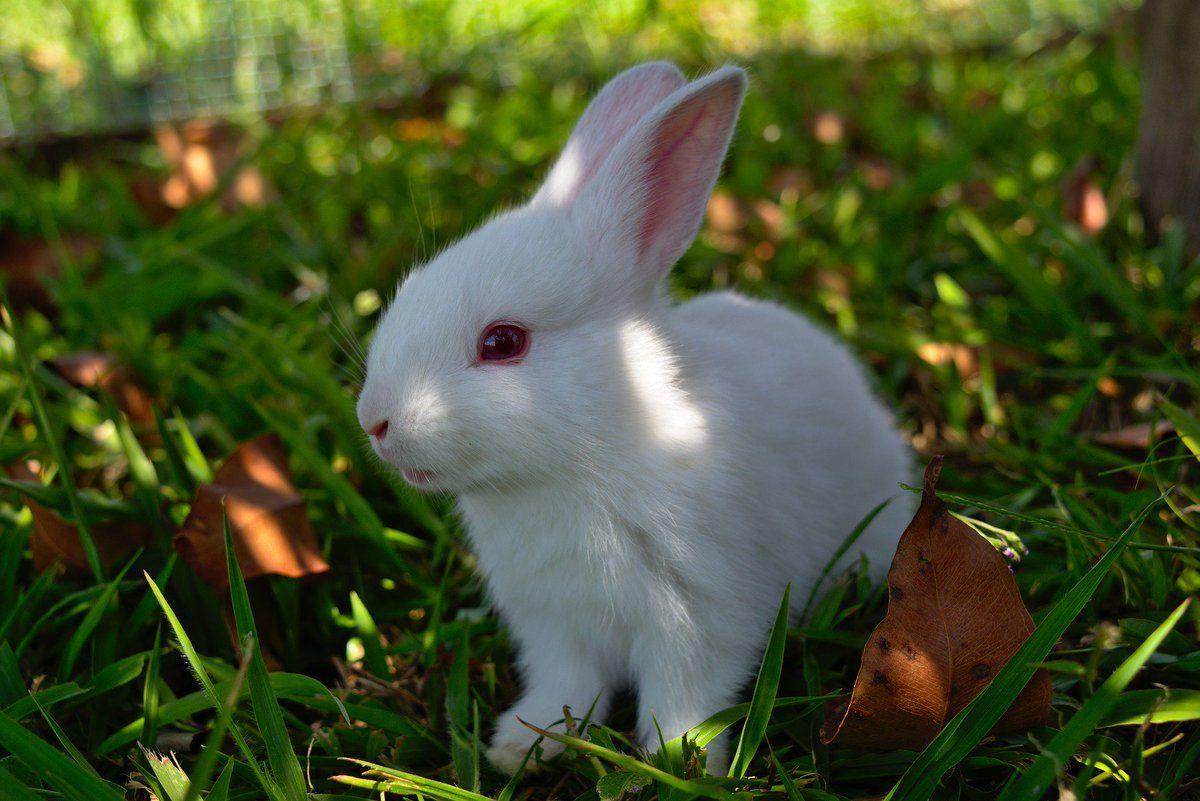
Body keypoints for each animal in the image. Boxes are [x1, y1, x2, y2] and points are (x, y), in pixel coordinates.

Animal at [356, 61, 914, 775]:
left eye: (503, 342)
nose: (375, 421)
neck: (587, 455)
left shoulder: (696, 616)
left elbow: (685, 694)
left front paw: (679, 761)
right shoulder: (555, 626)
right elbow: (567, 686)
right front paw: (523, 744)